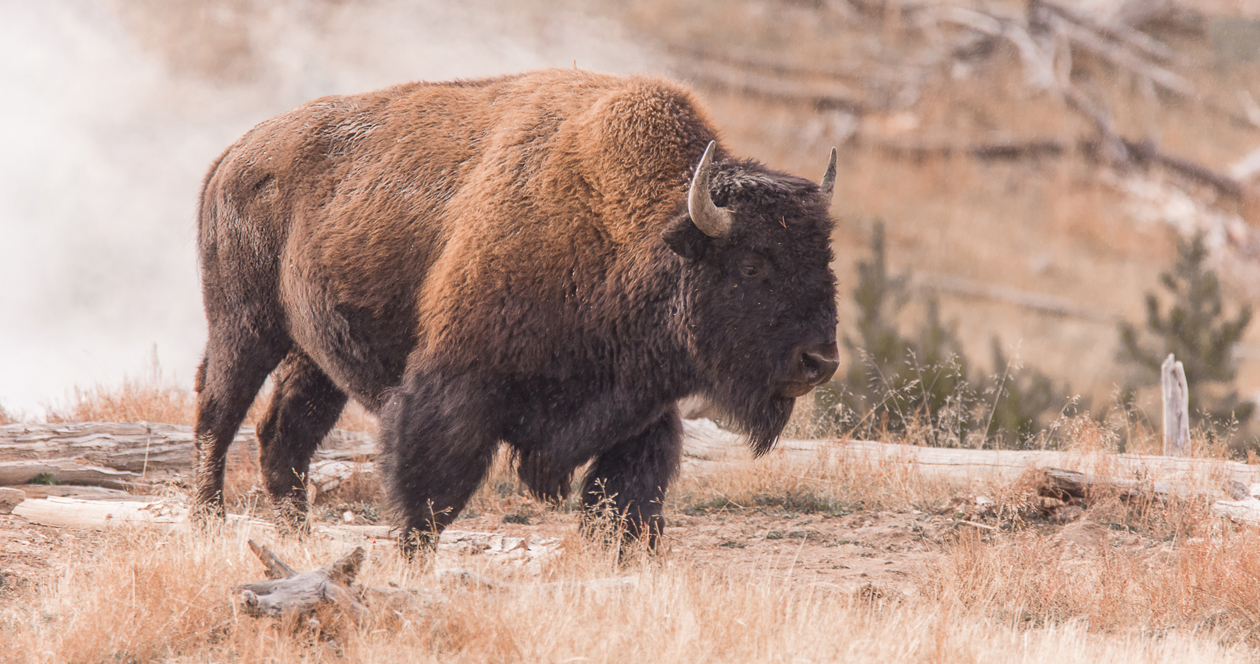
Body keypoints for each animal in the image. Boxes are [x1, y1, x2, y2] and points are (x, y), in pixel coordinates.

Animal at [193, 68, 839, 557]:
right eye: (752, 266)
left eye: (825, 259)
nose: (820, 361)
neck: (631, 227)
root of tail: (232, 158)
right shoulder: (453, 388)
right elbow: (430, 494)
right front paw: (410, 561)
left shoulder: (641, 416)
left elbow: (626, 505)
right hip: (243, 327)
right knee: (216, 418)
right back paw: (206, 523)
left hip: (314, 357)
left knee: (283, 436)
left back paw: (296, 540)